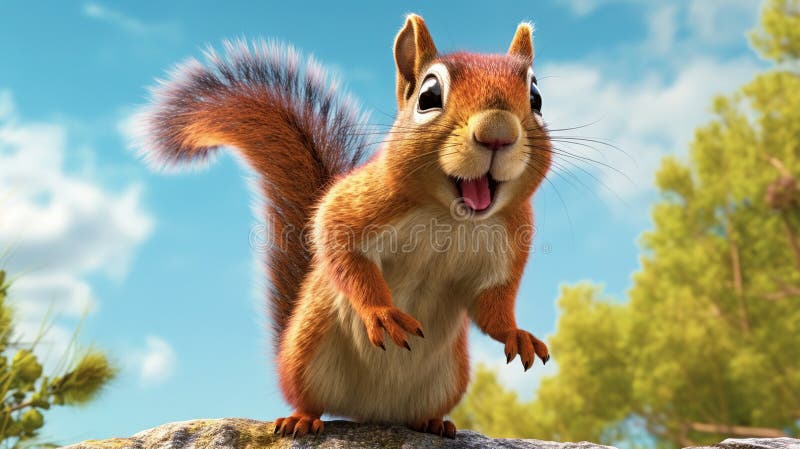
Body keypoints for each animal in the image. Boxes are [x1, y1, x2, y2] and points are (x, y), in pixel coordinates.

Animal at [133, 14, 551, 439]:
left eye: (536, 97)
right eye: (429, 96)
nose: (497, 132)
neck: (450, 216)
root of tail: (372, 412)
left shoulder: (509, 245)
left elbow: (491, 302)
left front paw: (516, 333)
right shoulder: (360, 203)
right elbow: (341, 247)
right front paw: (381, 312)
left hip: (450, 377)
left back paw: (433, 422)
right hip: (307, 354)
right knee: (309, 398)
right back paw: (301, 419)